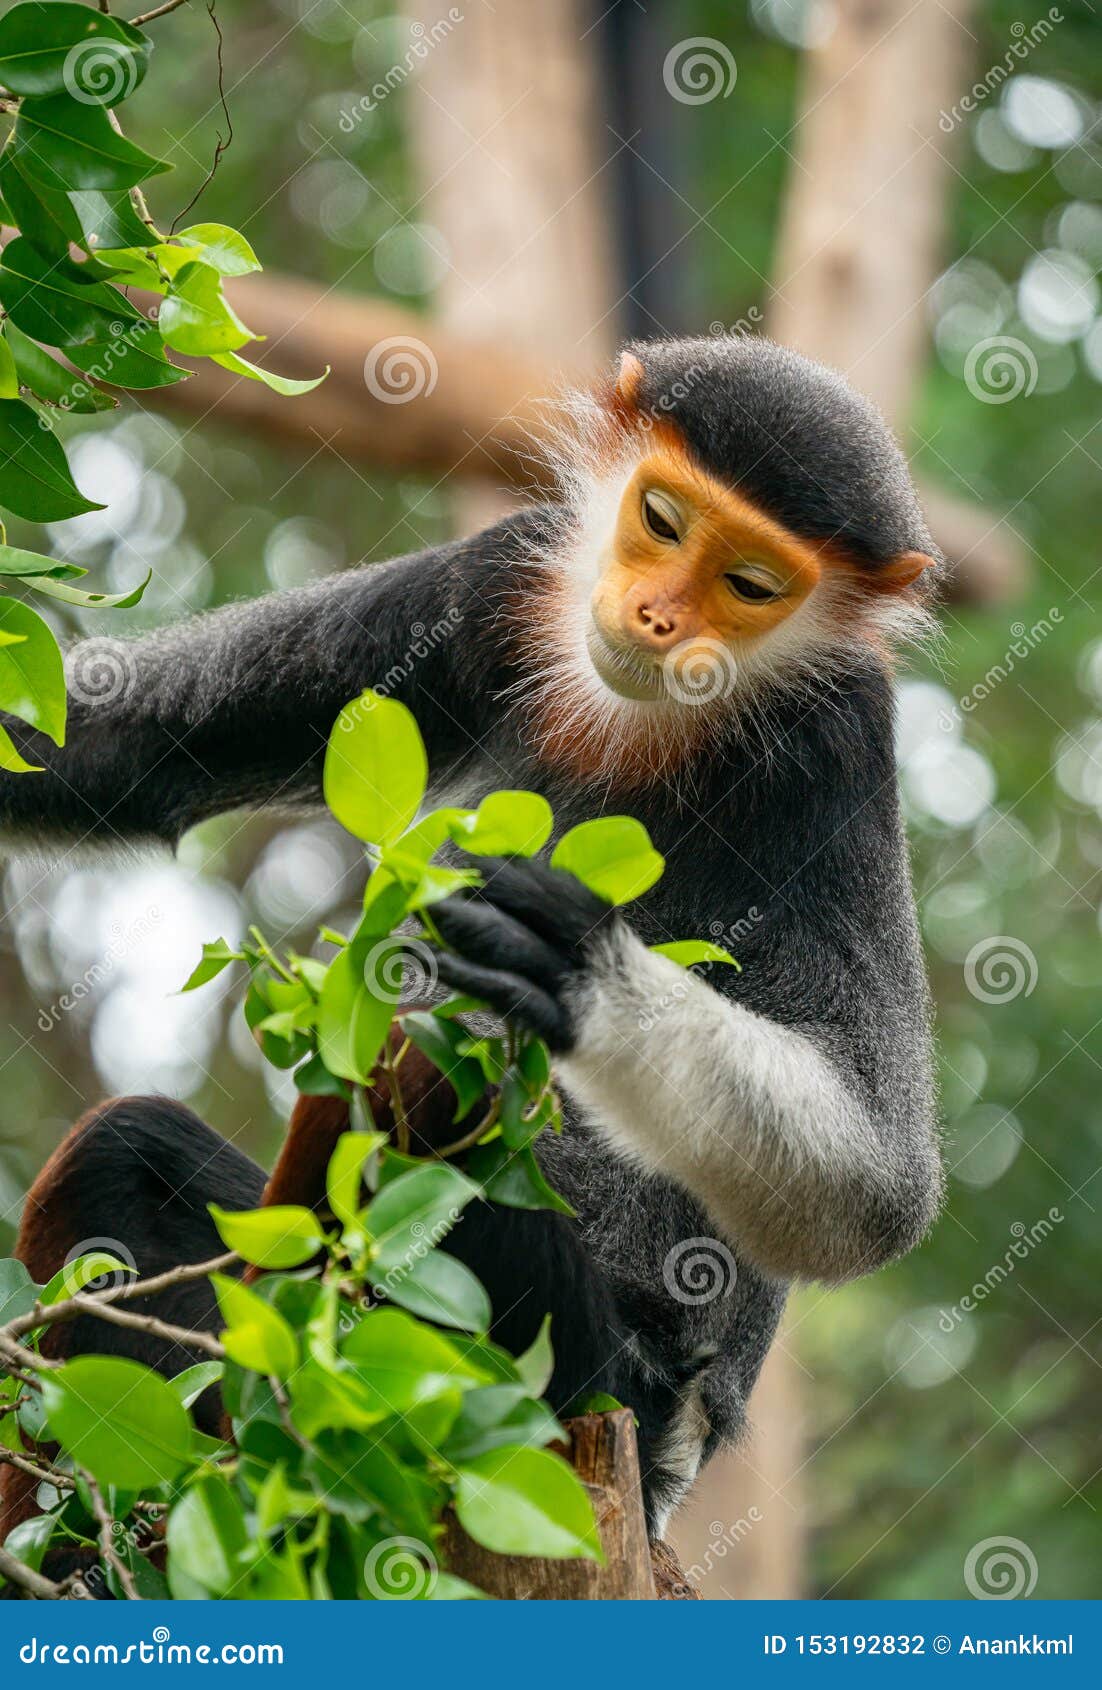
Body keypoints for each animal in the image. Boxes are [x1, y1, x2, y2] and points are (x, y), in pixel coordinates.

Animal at [0, 334, 943, 1553]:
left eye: (748, 586)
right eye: (662, 520)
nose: (657, 616)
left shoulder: (838, 733)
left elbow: (880, 1187)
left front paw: (576, 969)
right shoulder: (503, 577)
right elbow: (125, 746)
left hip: (566, 1381)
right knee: (127, 1153)